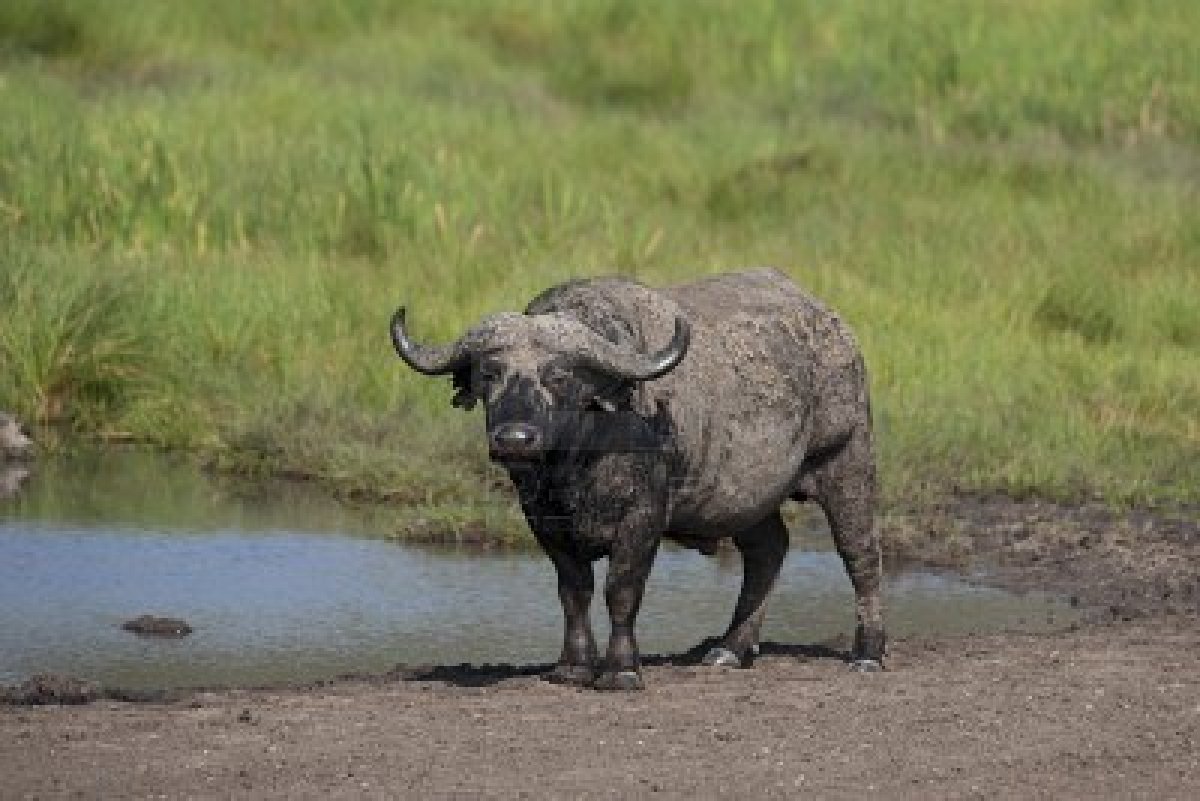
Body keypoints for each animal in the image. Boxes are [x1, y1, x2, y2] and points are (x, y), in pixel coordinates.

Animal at [390, 270, 885, 690]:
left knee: (860, 555)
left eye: (560, 377)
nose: (515, 440)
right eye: (489, 374)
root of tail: (836, 328)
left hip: (848, 460)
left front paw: (621, 670)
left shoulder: (643, 520)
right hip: (746, 500)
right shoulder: (545, 523)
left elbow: (621, 590)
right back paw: (729, 649)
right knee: (767, 551)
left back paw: (868, 653)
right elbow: (574, 591)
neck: (578, 465)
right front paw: (572, 667)